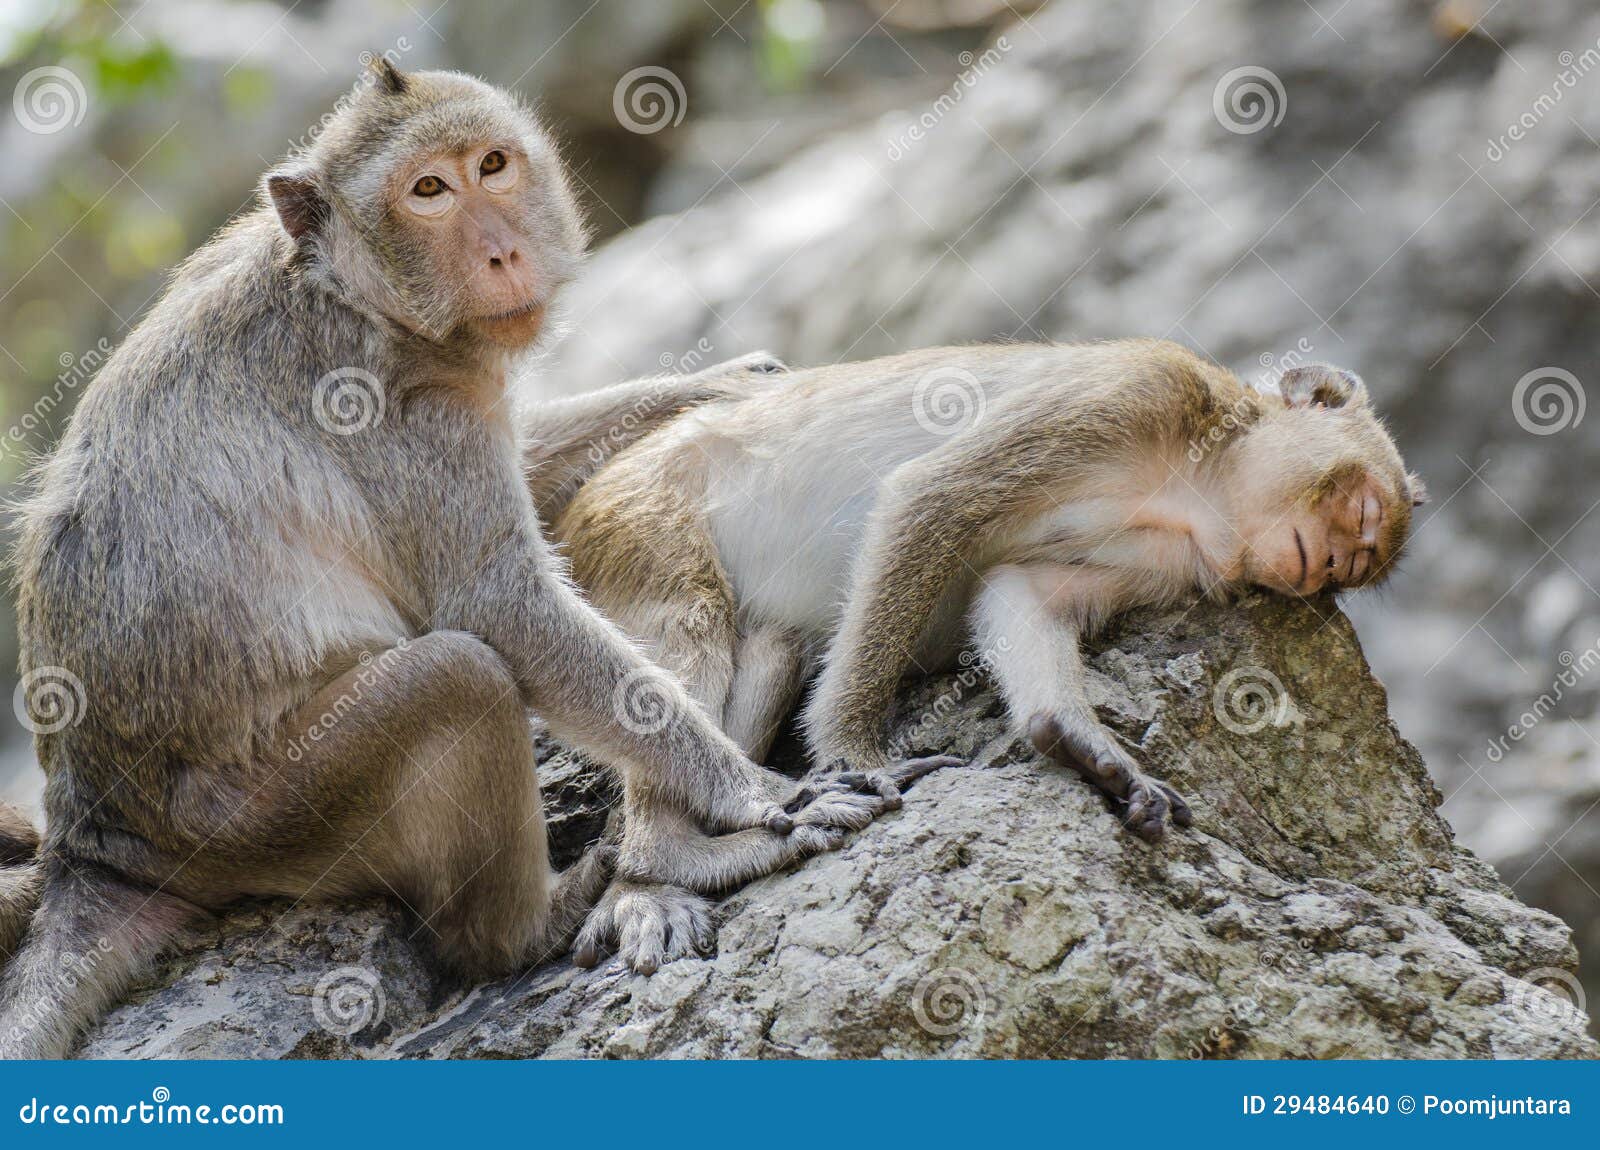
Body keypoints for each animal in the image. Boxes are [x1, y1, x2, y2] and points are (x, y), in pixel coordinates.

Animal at [0, 61, 932, 1059]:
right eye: (428, 191)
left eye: (492, 165)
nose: (502, 253)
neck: (351, 290)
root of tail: (95, 841)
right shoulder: (393, 404)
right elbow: (495, 603)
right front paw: (755, 797)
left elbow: (533, 464)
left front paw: (725, 383)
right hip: (259, 818)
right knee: (458, 675)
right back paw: (540, 920)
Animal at [554, 340, 1426, 928]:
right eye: (1363, 512)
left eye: (1357, 564)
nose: (1338, 561)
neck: (1200, 486)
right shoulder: (1134, 390)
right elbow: (928, 500)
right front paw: (858, 753)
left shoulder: (1177, 557)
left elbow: (1021, 590)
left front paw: (1082, 741)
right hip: (639, 518)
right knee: (683, 634)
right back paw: (670, 856)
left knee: (768, 647)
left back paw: (664, 870)